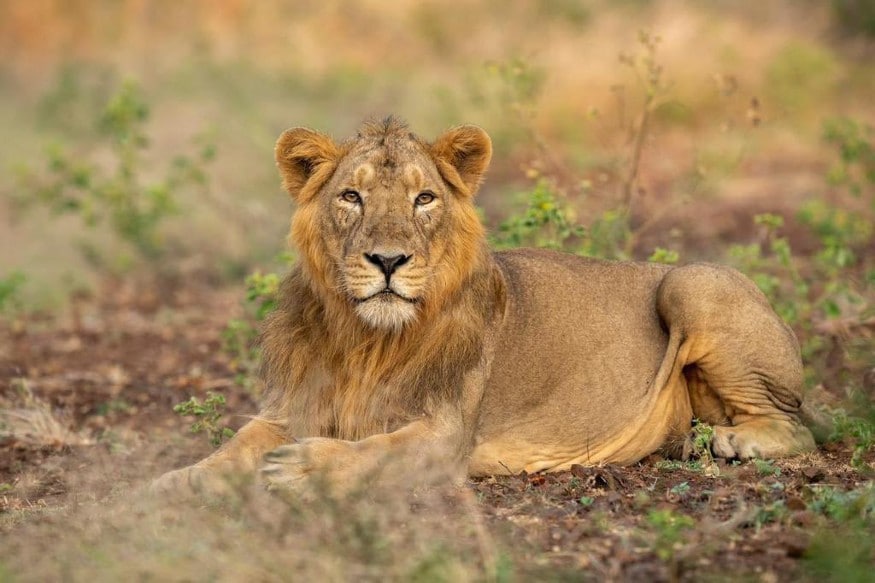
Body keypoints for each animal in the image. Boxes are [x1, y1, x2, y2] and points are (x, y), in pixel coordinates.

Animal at [152, 117, 815, 496]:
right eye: (351, 197)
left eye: (423, 198)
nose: (387, 261)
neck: (363, 339)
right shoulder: (292, 407)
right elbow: (235, 444)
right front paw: (177, 483)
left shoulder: (445, 436)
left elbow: (371, 452)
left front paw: (299, 470)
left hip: (693, 282)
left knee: (799, 426)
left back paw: (736, 443)